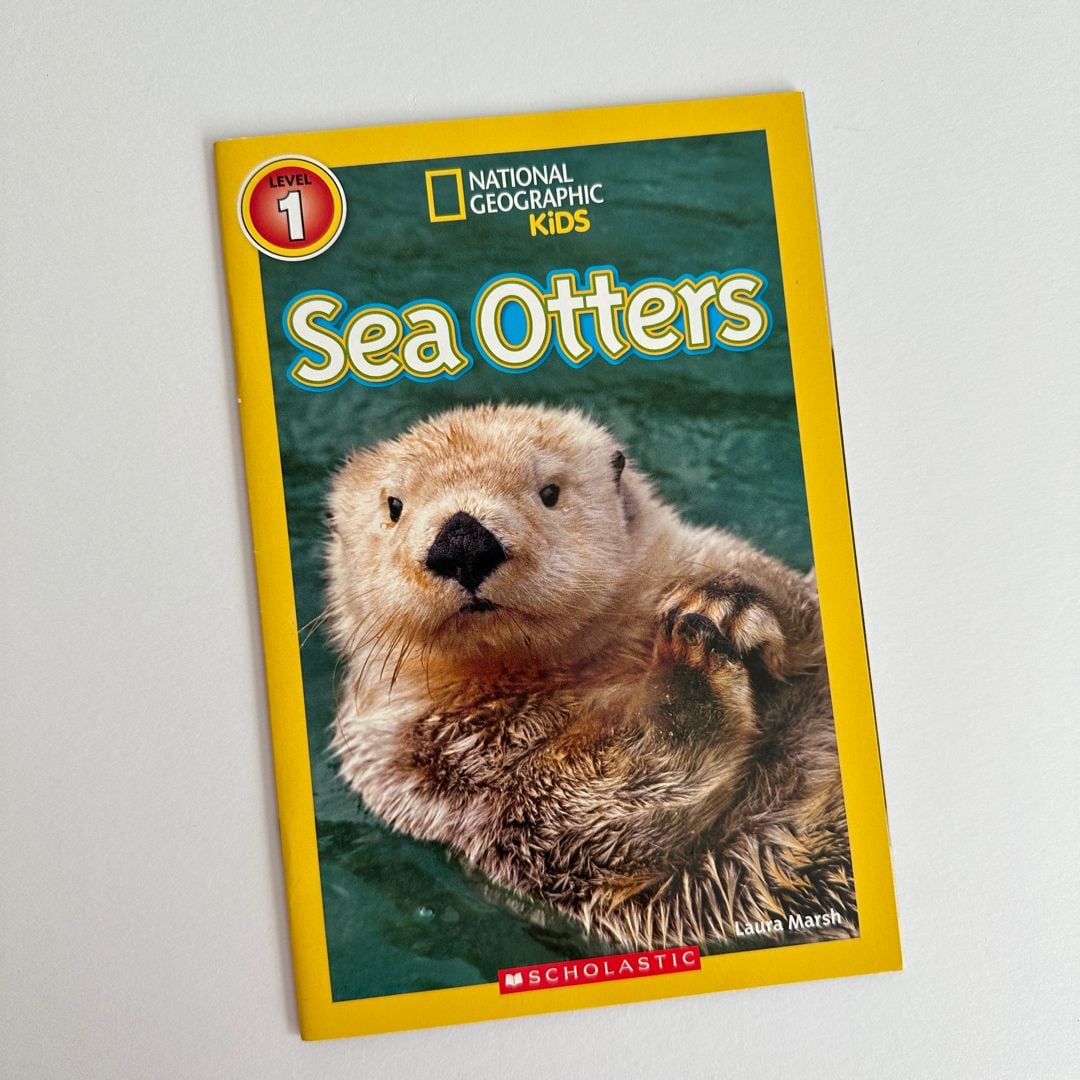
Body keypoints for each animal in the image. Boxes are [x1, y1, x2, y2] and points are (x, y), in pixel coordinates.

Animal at [325, 403, 856, 952]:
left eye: (549, 492)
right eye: (394, 506)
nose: (463, 542)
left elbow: (803, 605)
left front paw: (727, 602)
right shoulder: (441, 773)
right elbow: (599, 799)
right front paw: (689, 662)